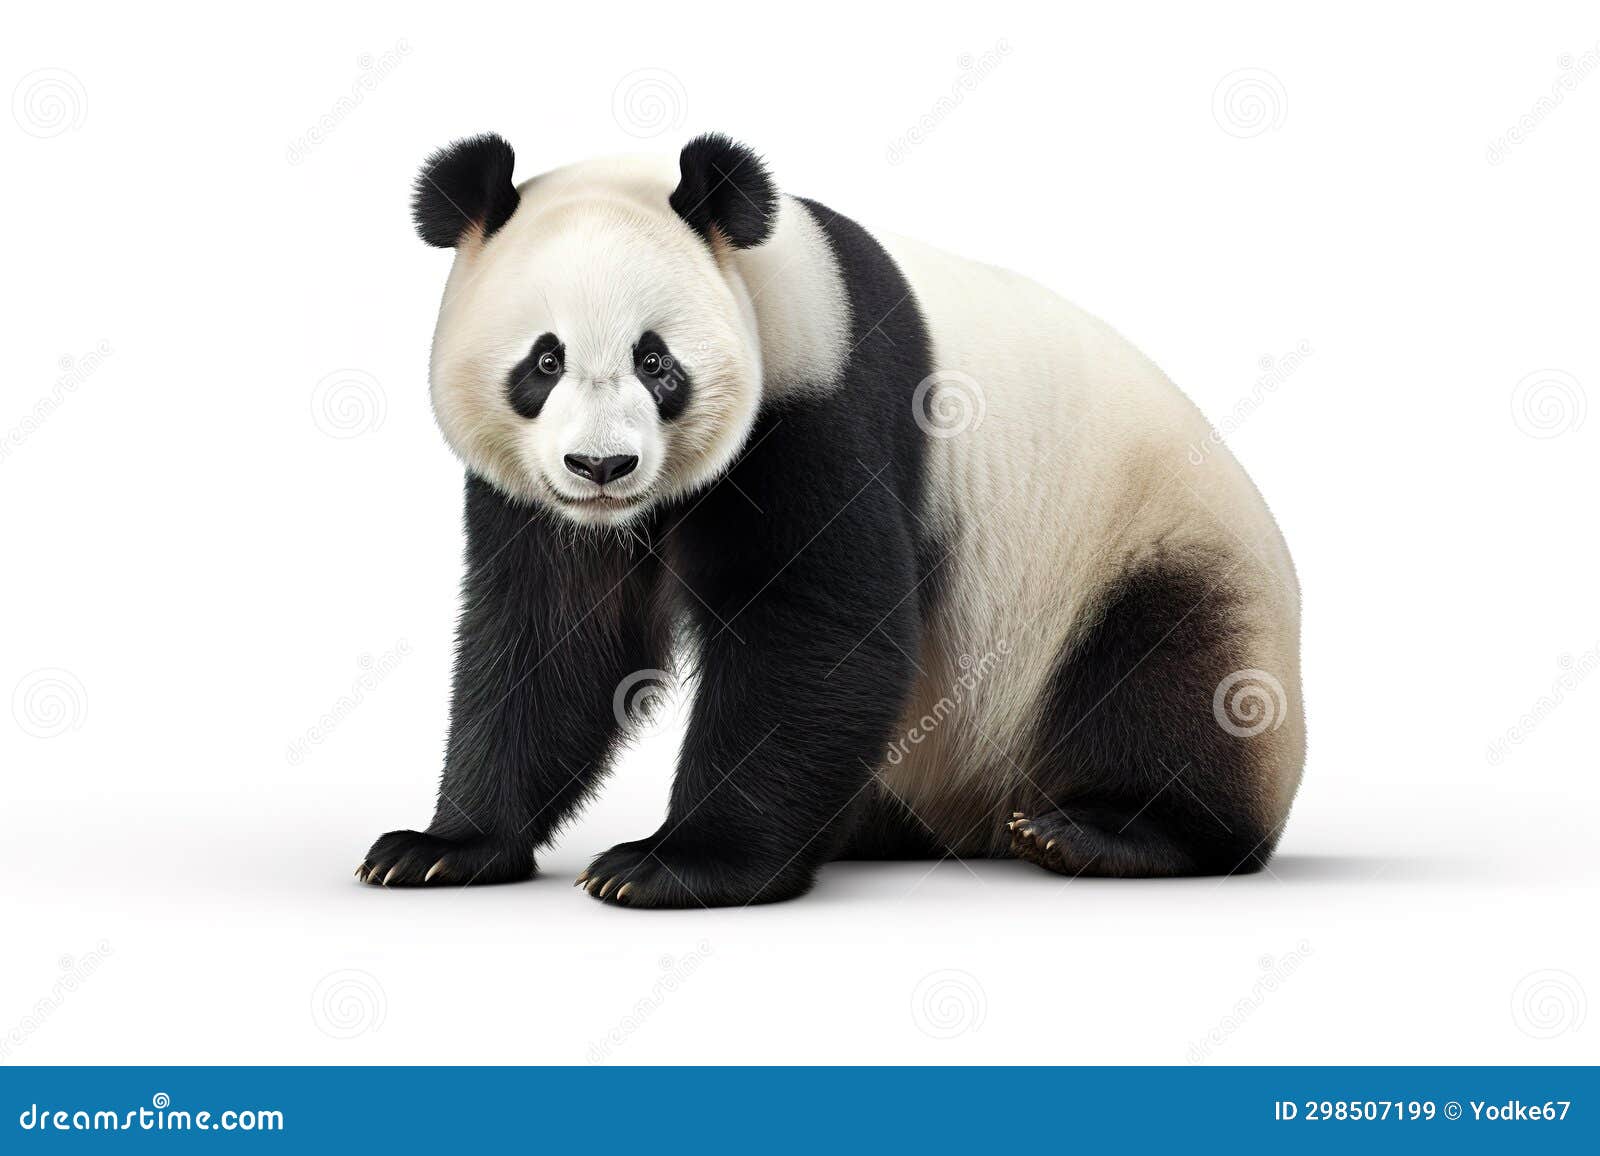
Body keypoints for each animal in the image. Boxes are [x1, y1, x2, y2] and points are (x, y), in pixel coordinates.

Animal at [358, 131, 1305, 906]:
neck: (759, 278)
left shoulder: (824, 402)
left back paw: (1103, 835)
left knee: (1171, 680)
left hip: (1151, 552)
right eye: (544, 361)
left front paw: (676, 865)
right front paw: (441, 847)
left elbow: (815, 627)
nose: (602, 468)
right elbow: (549, 638)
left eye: (655, 361)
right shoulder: (535, 500)